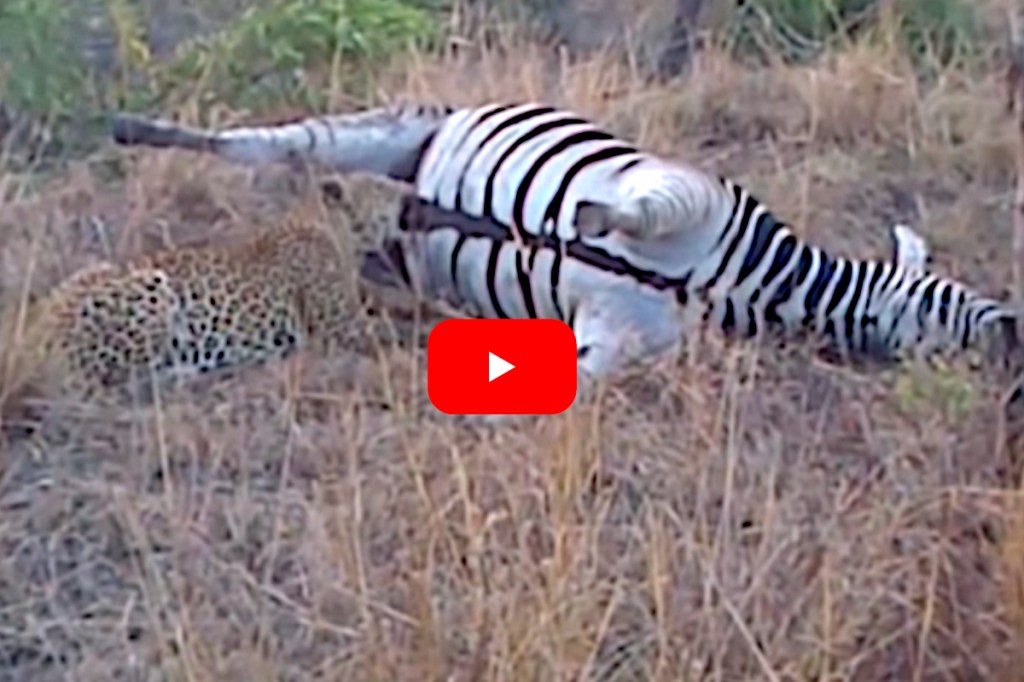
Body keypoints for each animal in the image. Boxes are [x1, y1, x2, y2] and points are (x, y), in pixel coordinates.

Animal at [109, 102, 1022, 383]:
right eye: (953, 294)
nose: (1014, 333)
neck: (738, 286)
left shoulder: (620, 338)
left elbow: (577, 376)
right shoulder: (685, 191)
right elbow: (629, 213)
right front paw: (580, 221)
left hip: (388, 243)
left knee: (361, 239)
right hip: (383, 129)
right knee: (267, 144)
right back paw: (132, 129)